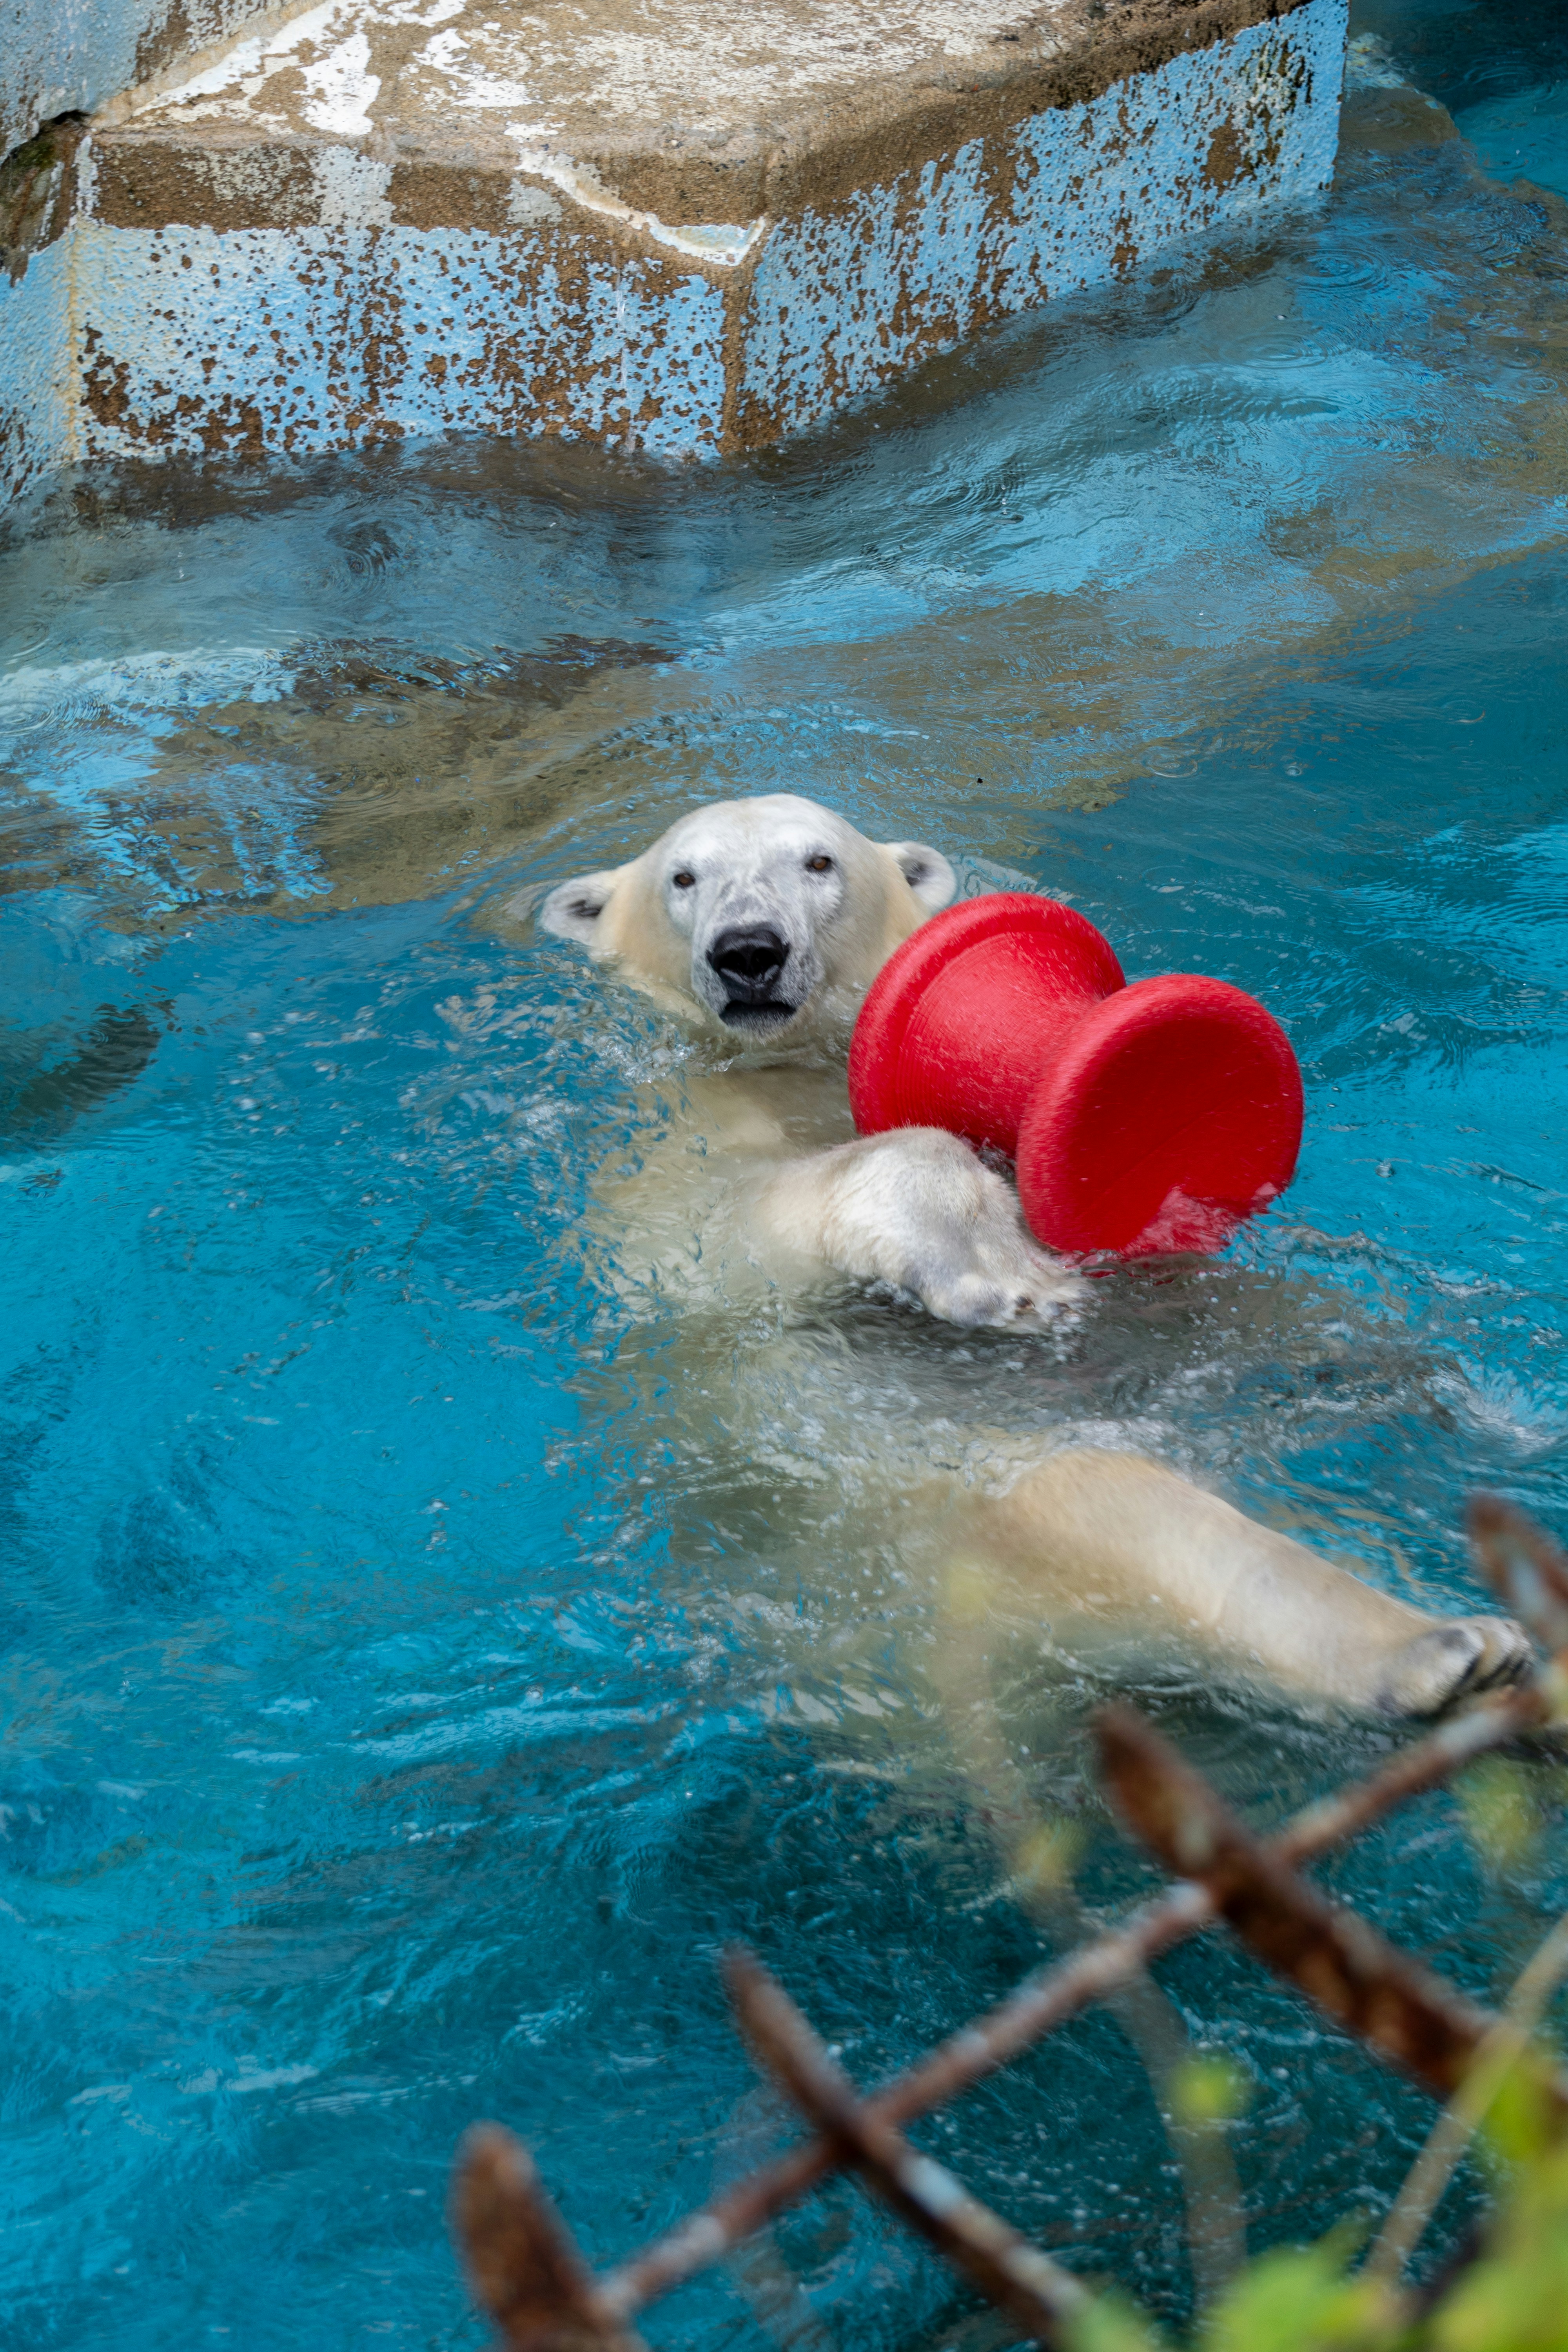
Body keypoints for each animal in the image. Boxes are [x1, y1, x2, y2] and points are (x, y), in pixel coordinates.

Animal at [538, 792, 1532, 1720]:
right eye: (683, 877)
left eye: (817, 860)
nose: (748, 951)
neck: (790, 1071)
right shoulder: (668, 1175)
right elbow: (717, 1235)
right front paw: (1009, 1278)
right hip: (922, 1507)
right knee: (1107, 1508)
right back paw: (1444, 1651)